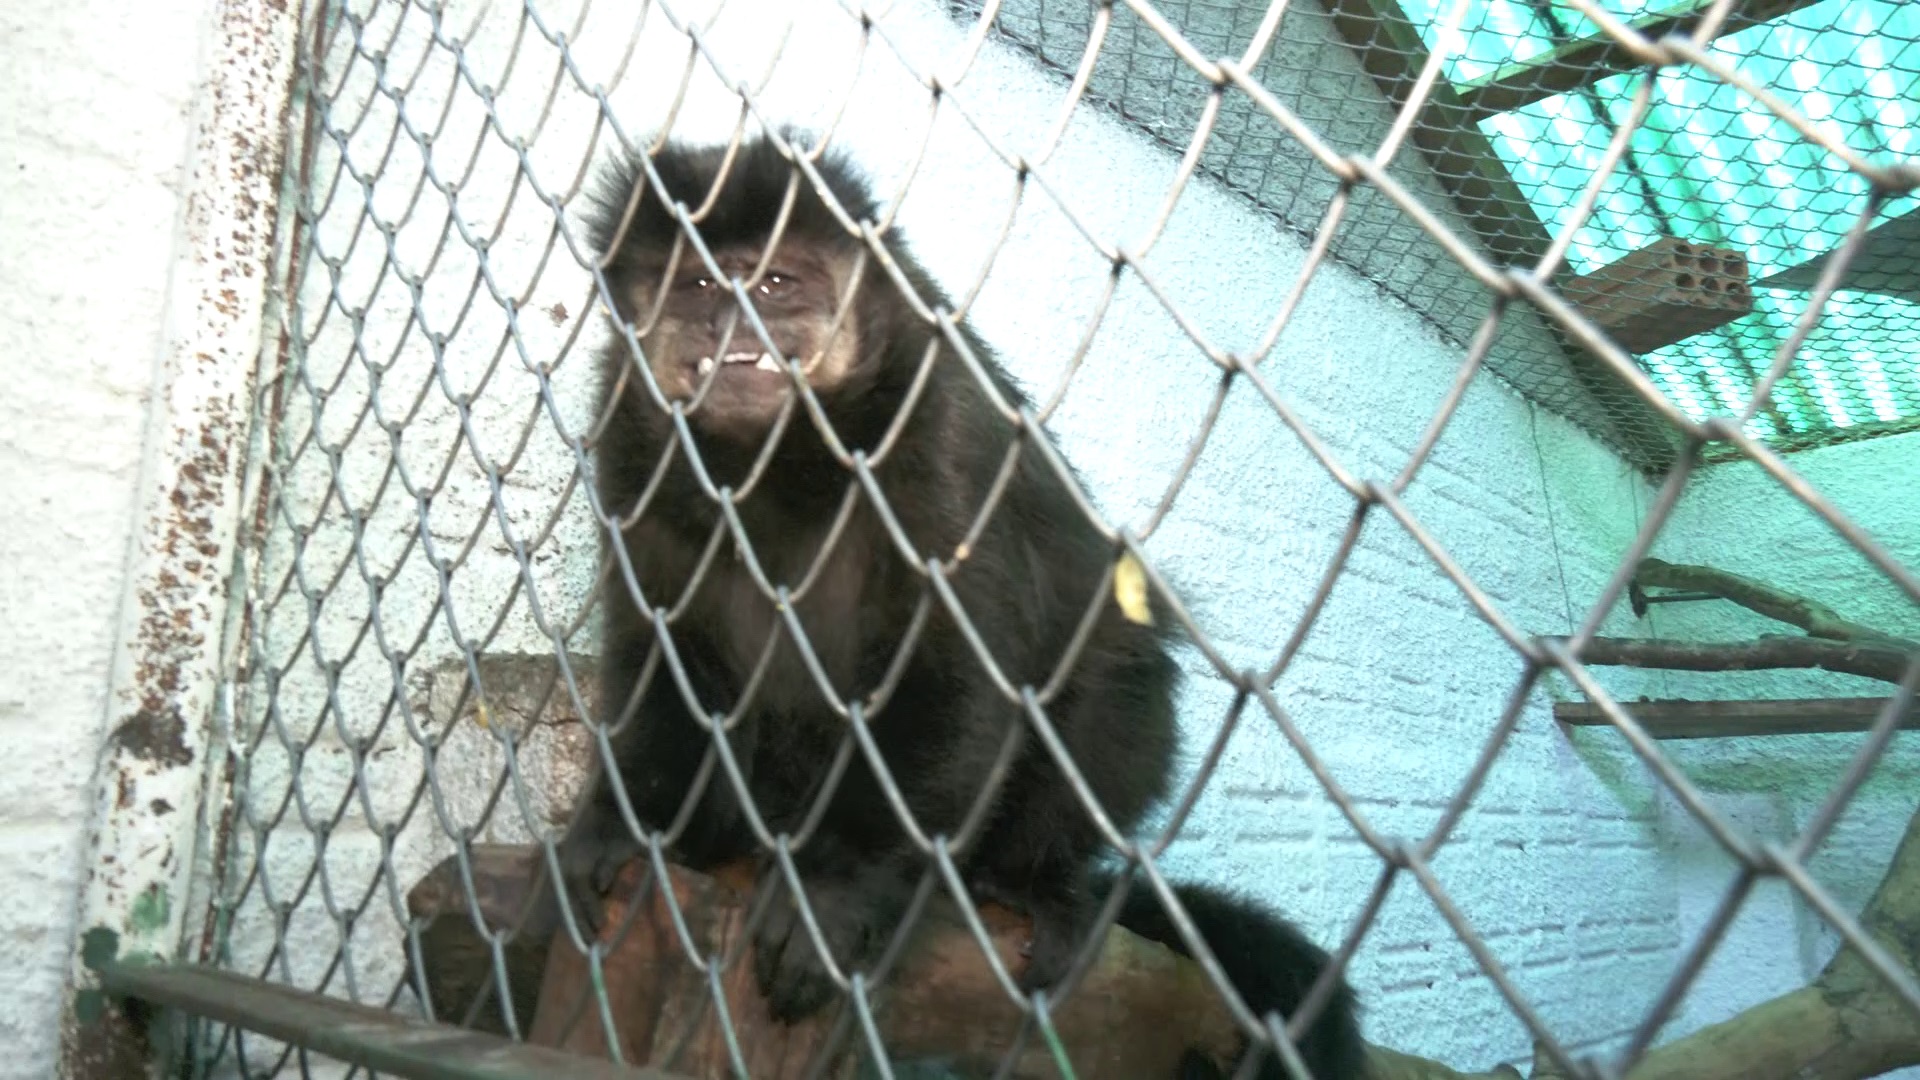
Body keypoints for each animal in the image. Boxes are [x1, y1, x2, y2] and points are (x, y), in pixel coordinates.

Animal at [558, 130, 1364, 1078]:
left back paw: (1030, 884)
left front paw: (838, 894)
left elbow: (958, 676)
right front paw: (627, 824)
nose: (735, 324)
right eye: (697, 286)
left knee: (1116, 677)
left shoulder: (936, 424)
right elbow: (660, 643)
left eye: (778, 284)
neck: (784, 459)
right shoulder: (630, 436)